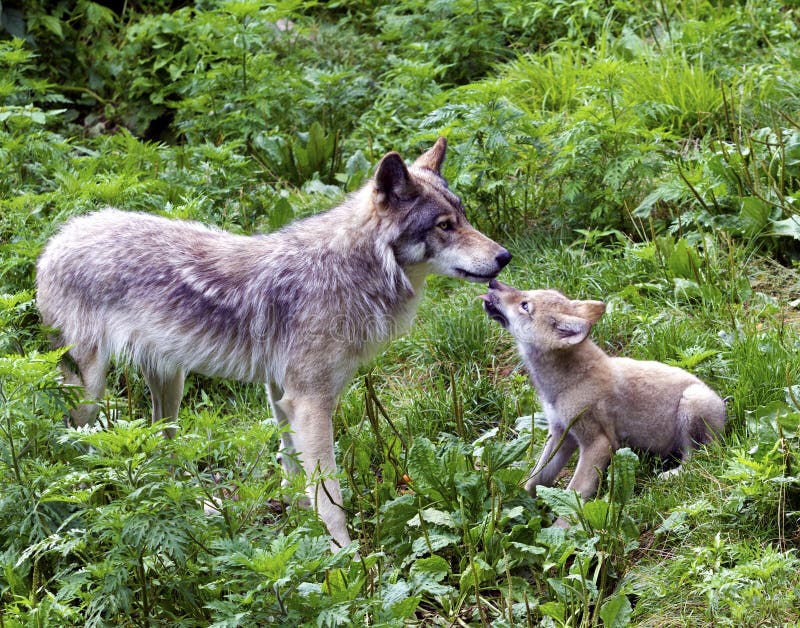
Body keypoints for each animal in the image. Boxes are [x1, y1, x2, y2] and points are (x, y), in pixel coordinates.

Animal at [37, 138, 511, 548]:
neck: (352, 271)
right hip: (91, 392)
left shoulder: (282, 395)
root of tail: (58, 238)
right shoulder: (311, 402)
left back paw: (193, 507)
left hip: (171, 386)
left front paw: (299, 533)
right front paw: (345, 558)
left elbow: (294, 473)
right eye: (445, 226)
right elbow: (330, 496)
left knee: (161, 450)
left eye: (464, 217)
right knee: (76, 450)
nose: (505, 256)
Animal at [482, 280, 725, 501]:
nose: (492, 282)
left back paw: (672, 475)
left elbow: (575, 494)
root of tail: (725, 409)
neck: (567, 383)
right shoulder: (562, 435)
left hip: (691, 405)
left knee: (698, 458)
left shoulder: (598, 444)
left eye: (525, 305)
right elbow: (535, 479)